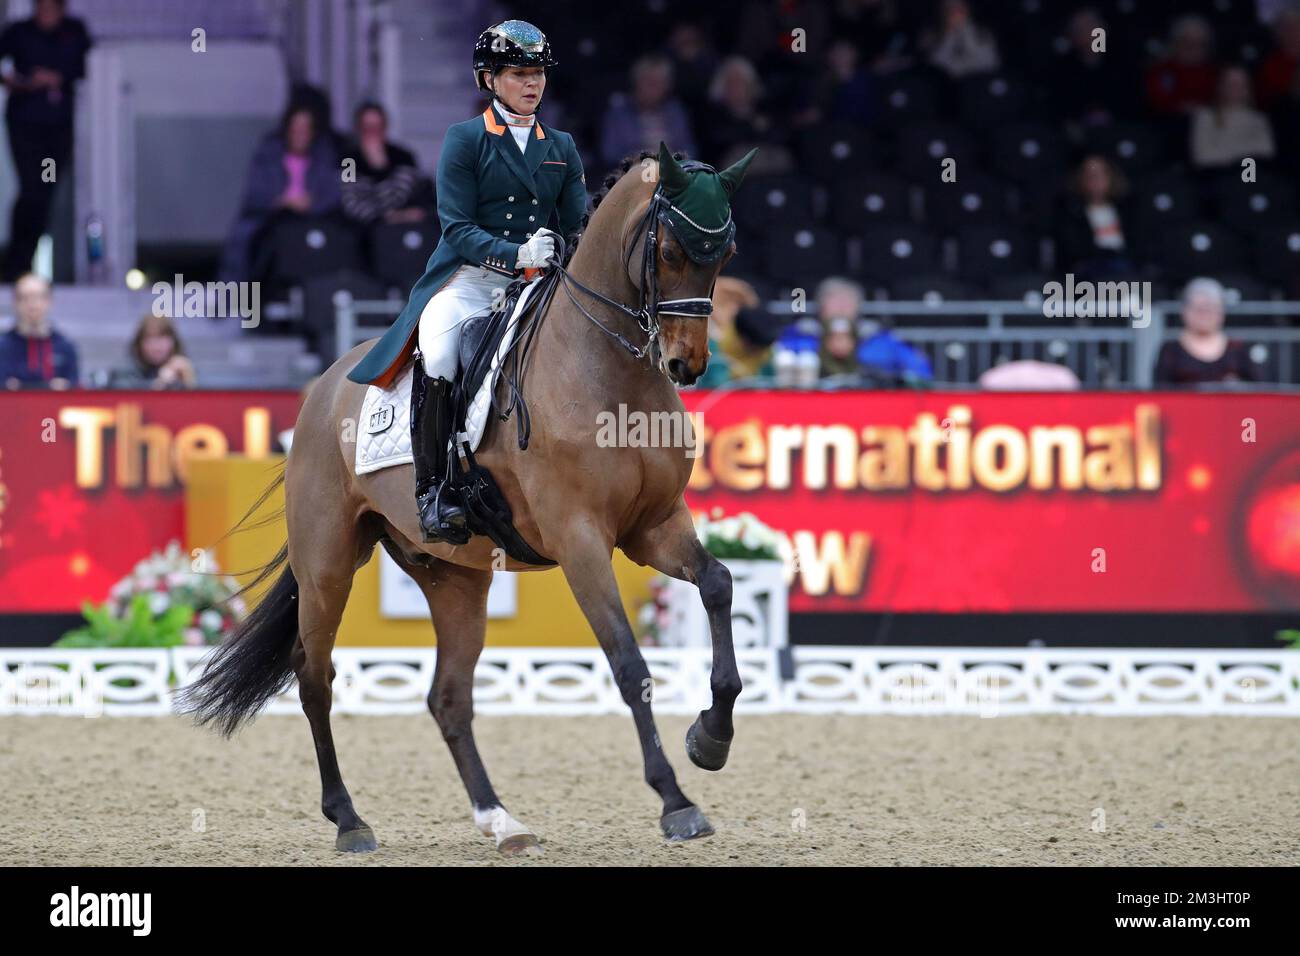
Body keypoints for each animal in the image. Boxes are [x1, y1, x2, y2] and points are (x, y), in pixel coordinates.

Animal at [178, 143, 757, 856]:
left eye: (726, 253)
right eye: (671, 250)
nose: (687, 365)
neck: (607, 368)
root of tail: (325, 387)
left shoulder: (654, 527)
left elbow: (719, 584)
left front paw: (711, 737)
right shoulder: (580, 540)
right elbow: (628, 662)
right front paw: (676, 801)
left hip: (454, 577)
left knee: (447, 696)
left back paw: (500, 820)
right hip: (327, 565)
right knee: (315, 677)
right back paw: (349, 820)